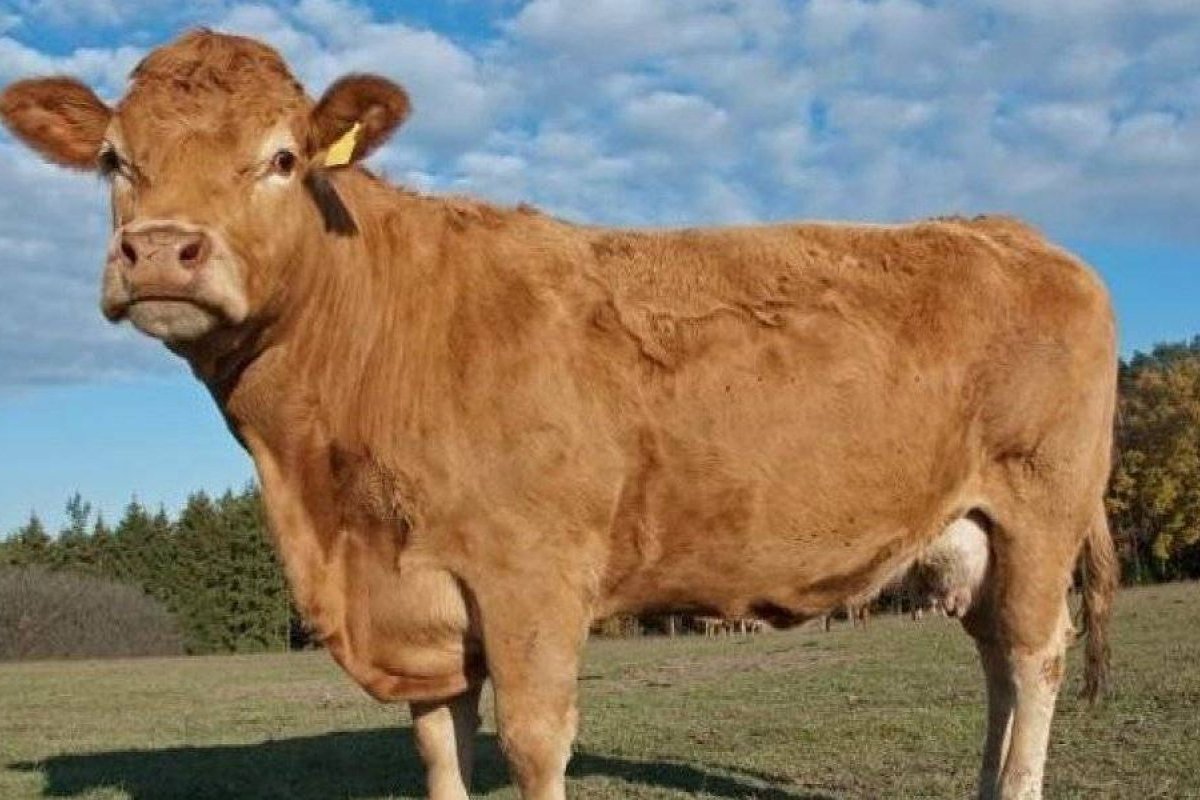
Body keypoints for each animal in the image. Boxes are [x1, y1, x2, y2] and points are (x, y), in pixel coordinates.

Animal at [0, 30, 1118, 800]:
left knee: (1035, 659)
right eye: (113, 160)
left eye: (283, 158)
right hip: (970, 535)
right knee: (996, 664)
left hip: (1041, 508)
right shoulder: (421, 601)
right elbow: (438, 750)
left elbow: (536, 744)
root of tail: (1012, 232)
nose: (160, 250)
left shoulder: (530, 575)